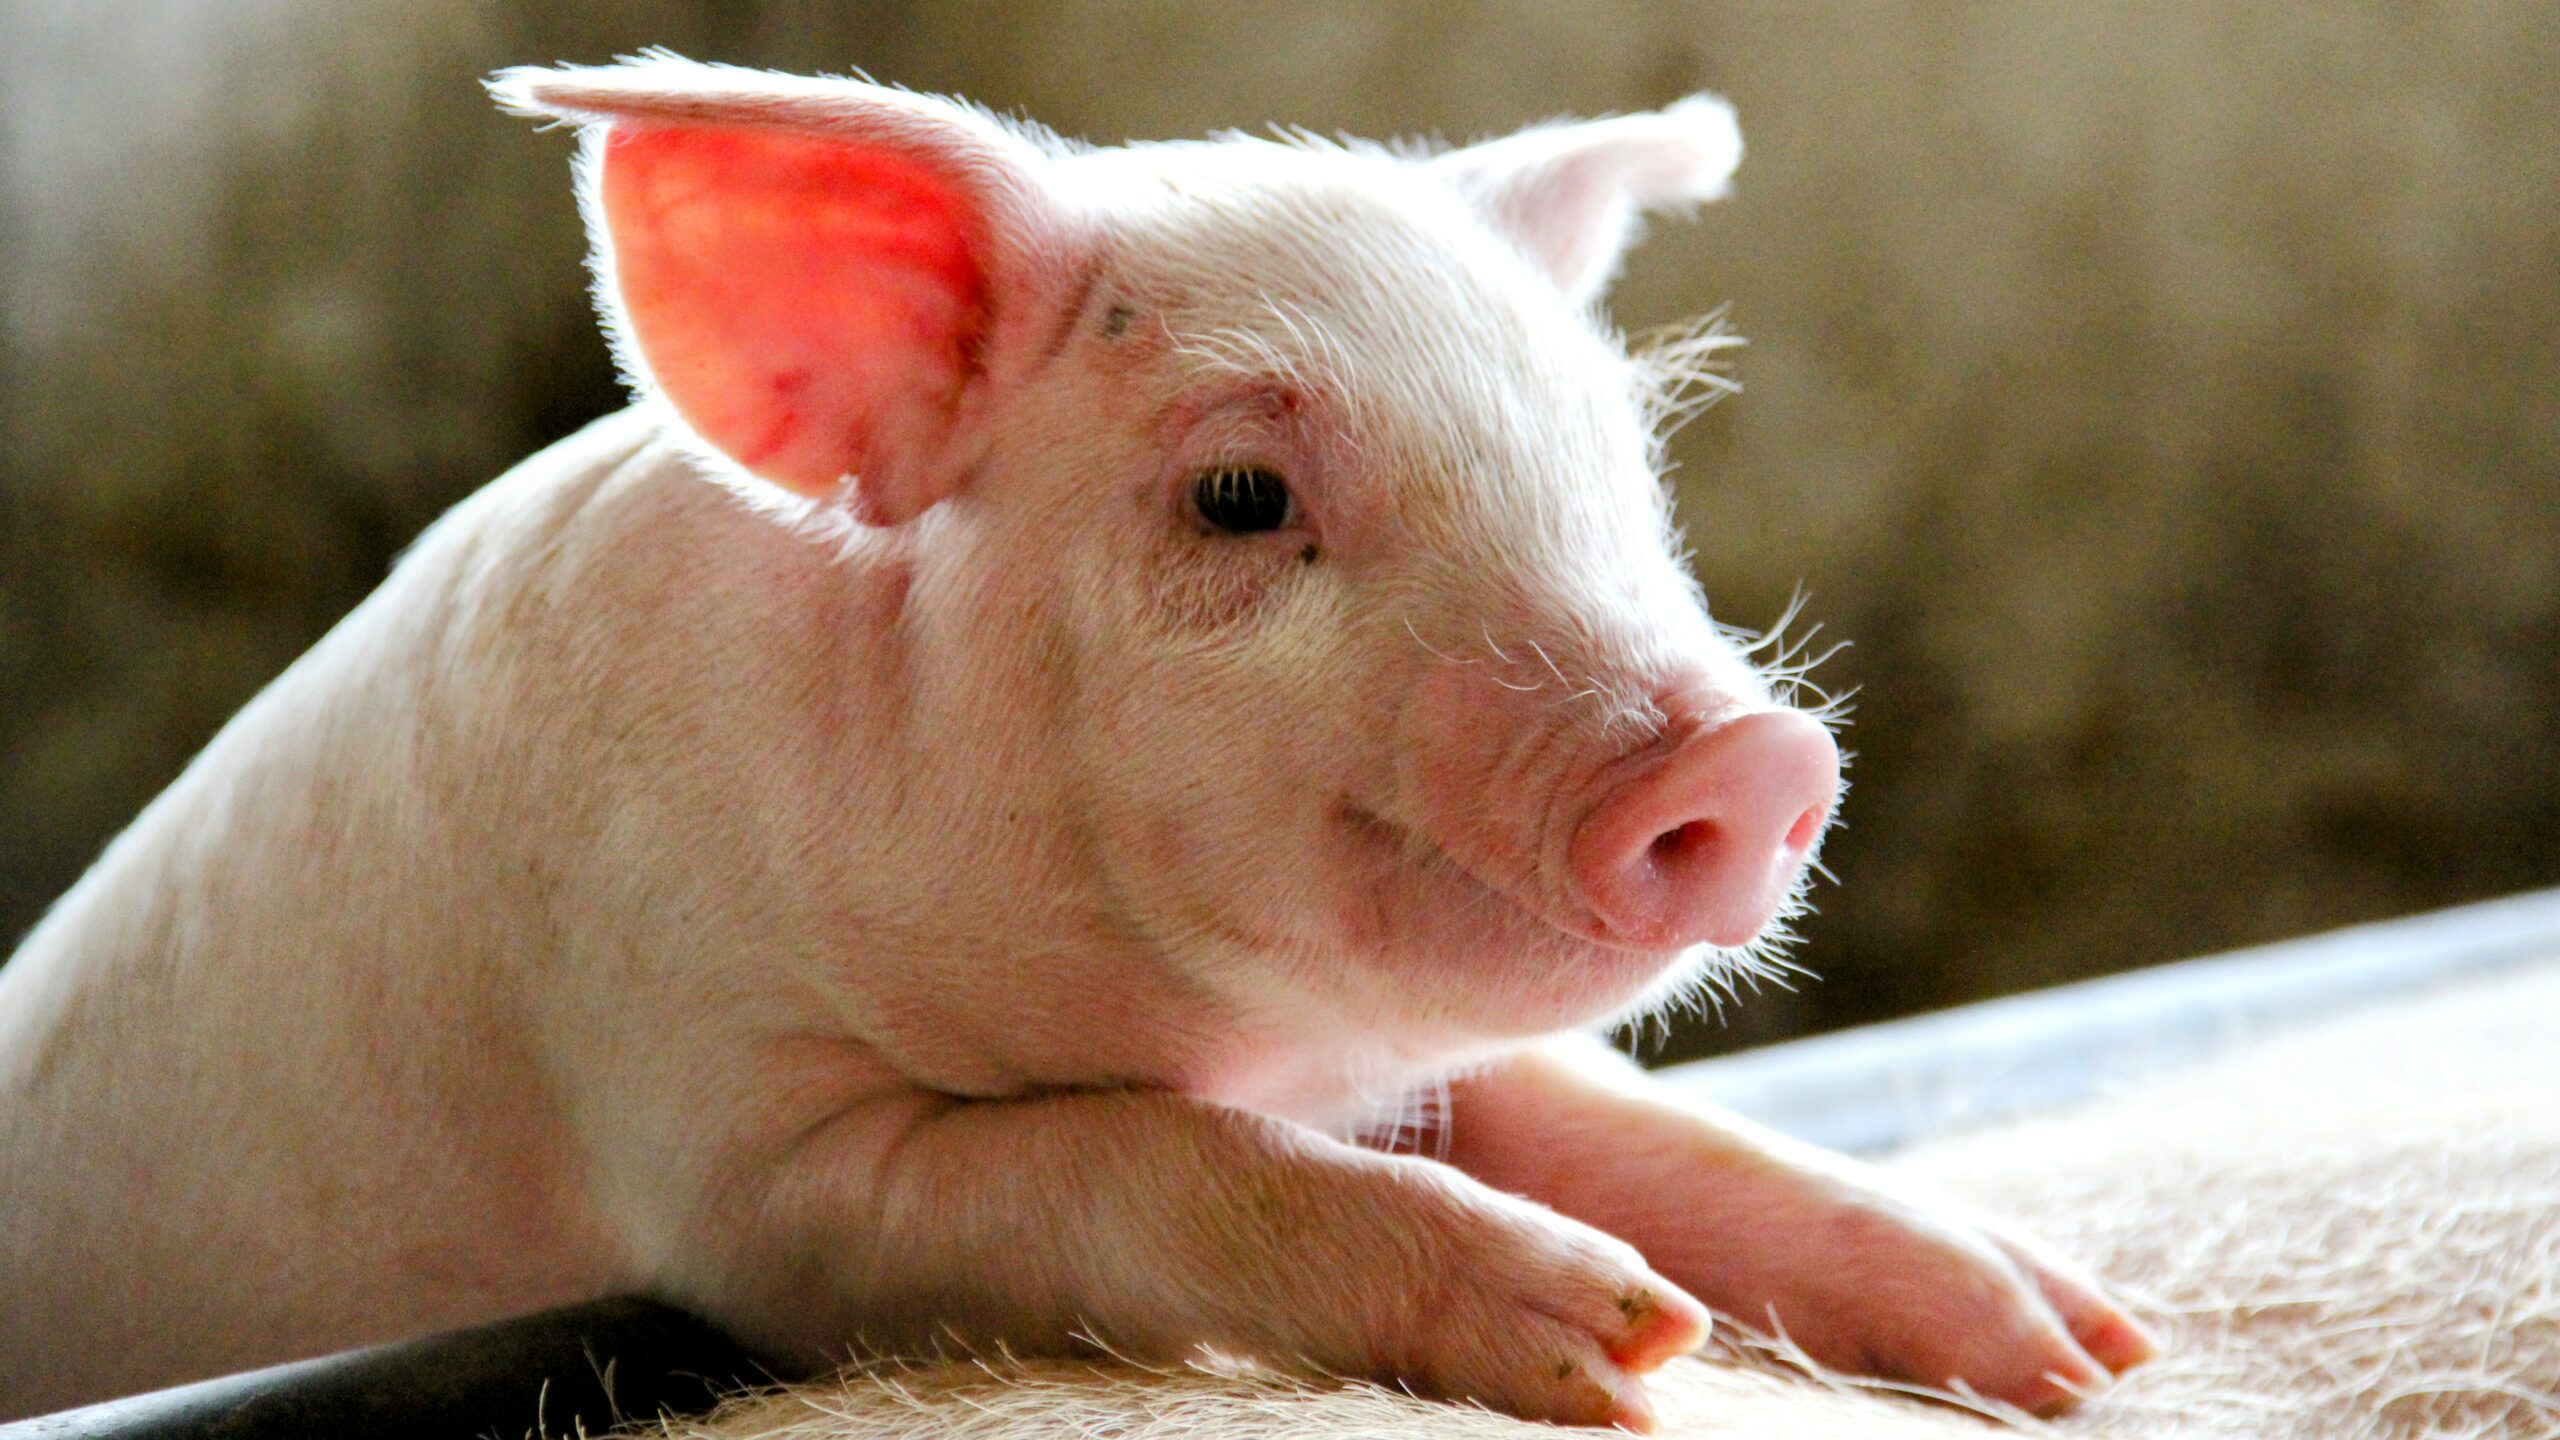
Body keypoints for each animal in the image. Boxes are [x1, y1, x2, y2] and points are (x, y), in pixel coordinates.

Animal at [0, 55, 2156, 1426]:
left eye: (1625, 460)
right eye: (1236, 498)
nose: (1756, 761)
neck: (1199, 1018)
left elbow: (1643, 1122)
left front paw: (2080, 1354)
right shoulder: (735, 1145)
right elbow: (1147, 1167)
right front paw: (1625, 1347)